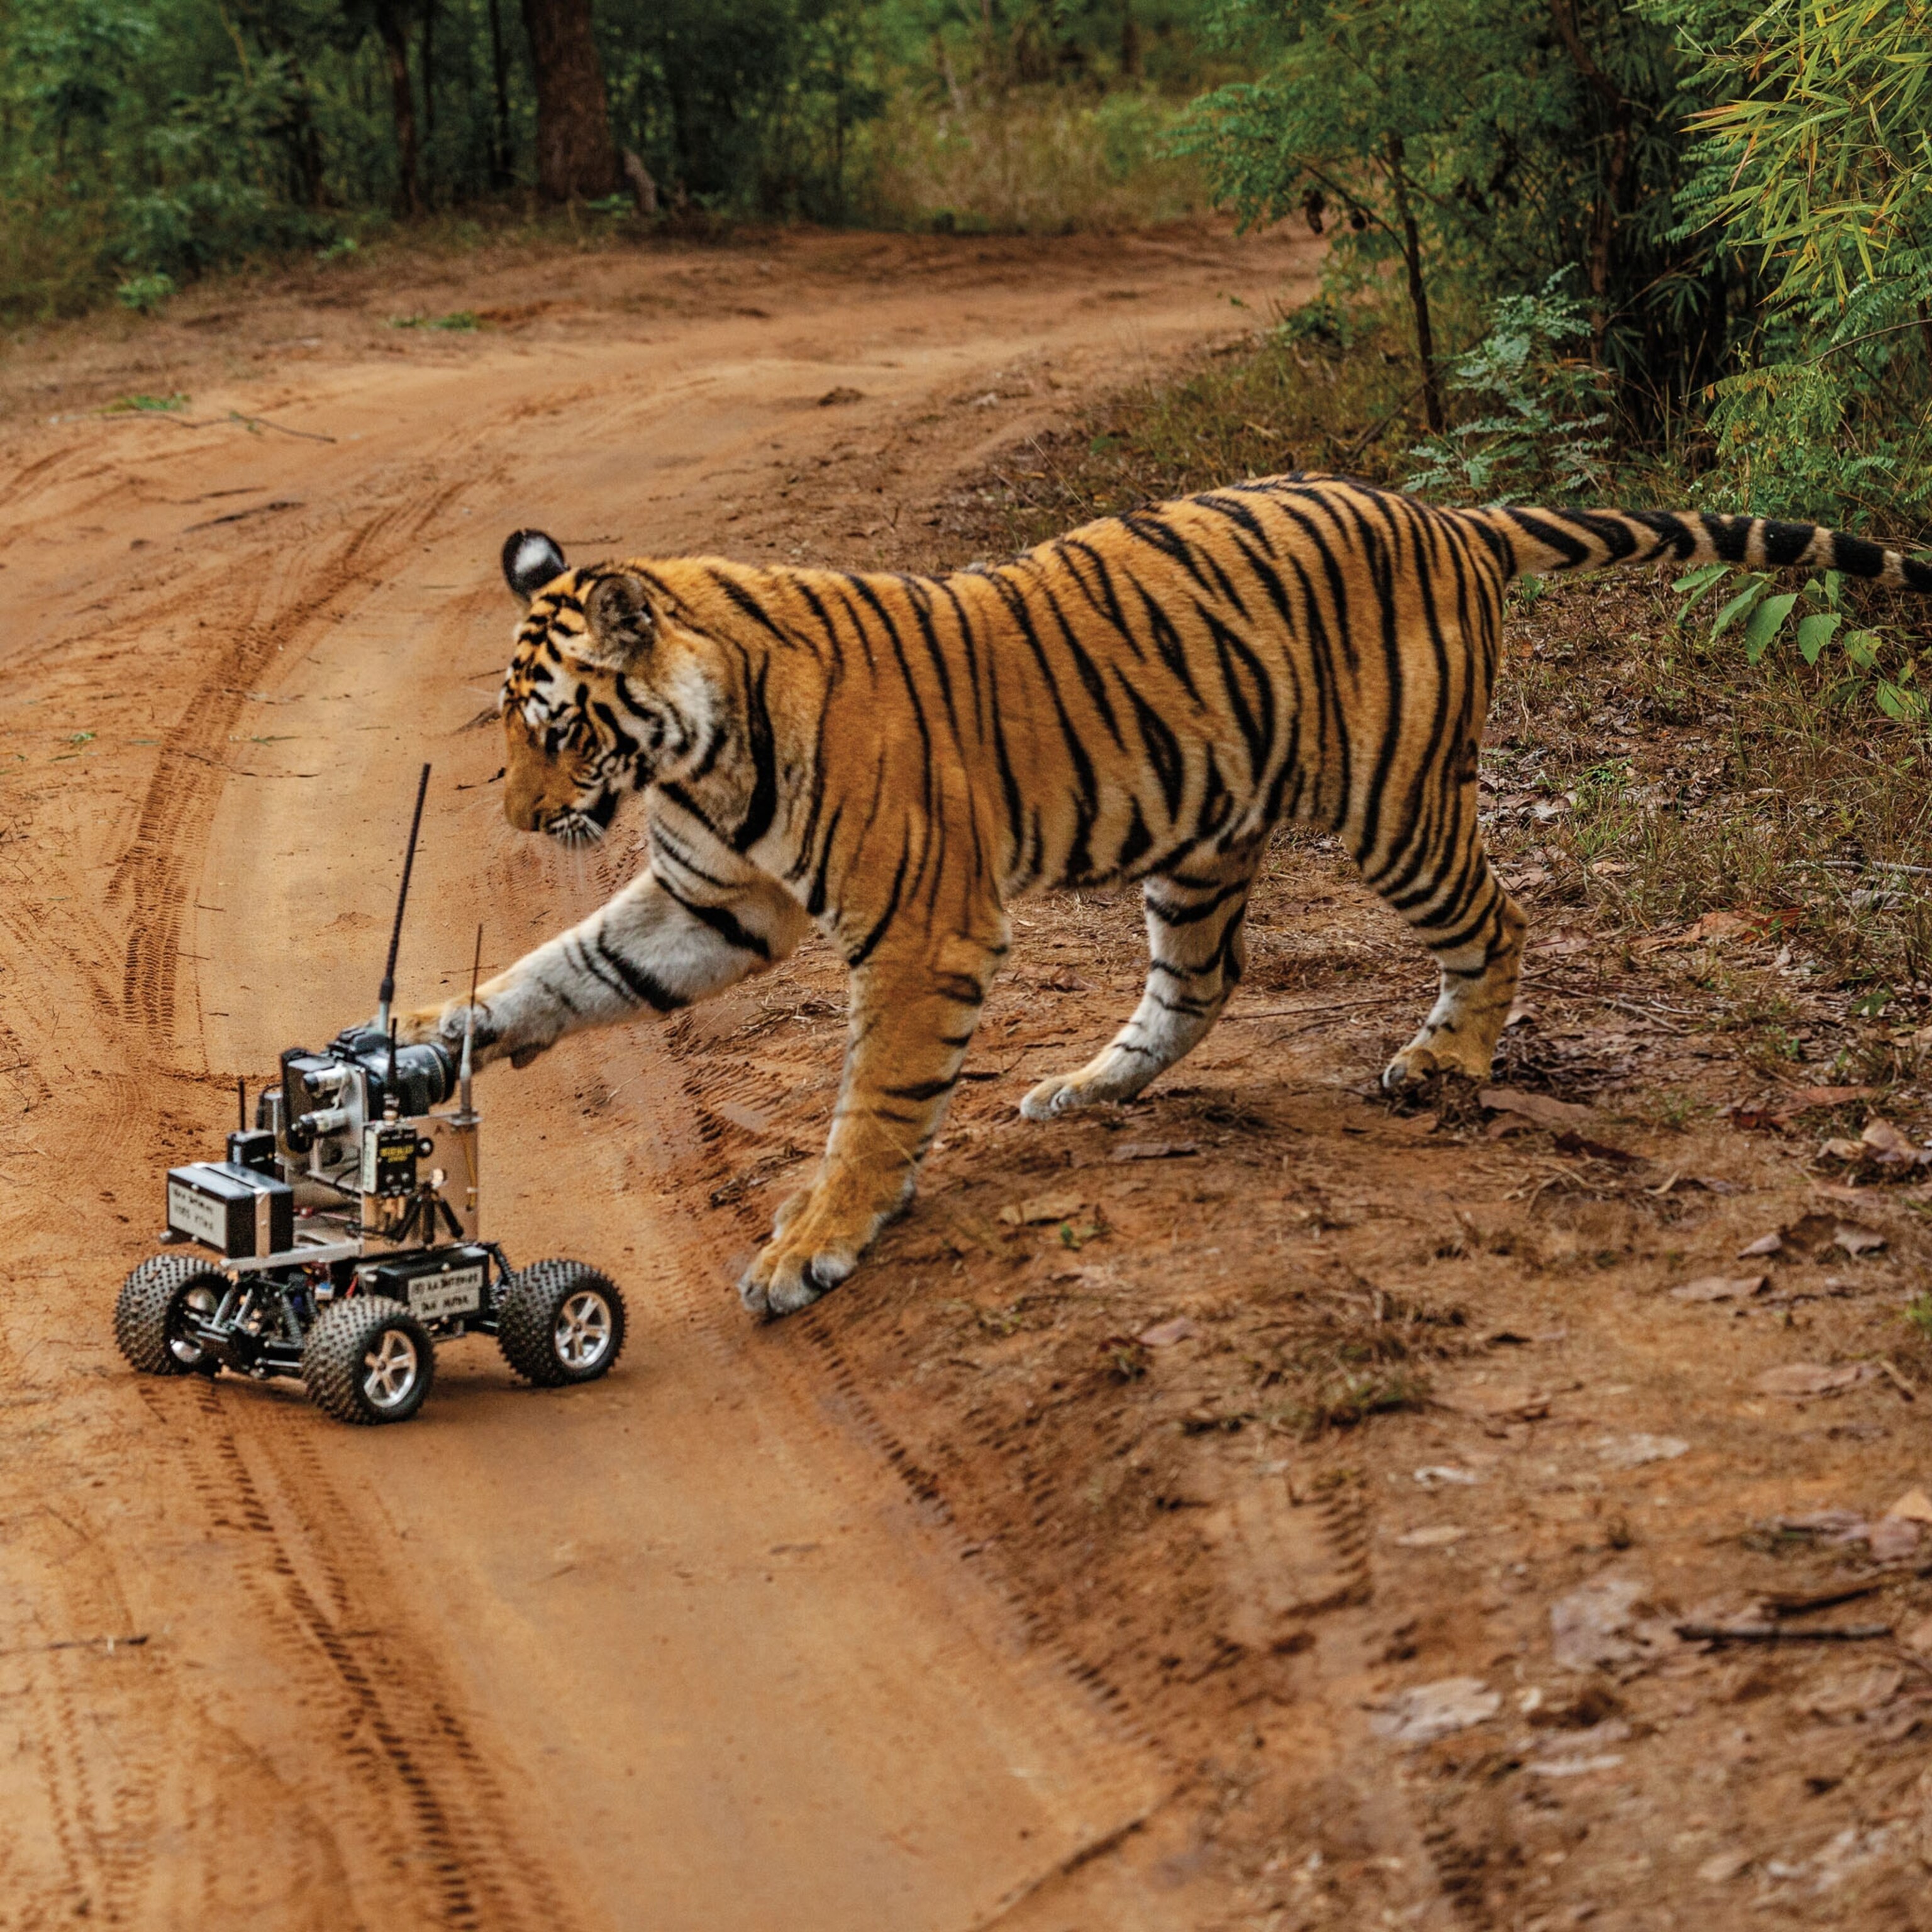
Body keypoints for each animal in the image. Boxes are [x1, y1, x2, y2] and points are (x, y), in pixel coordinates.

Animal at [400, 476, 1932, 1316]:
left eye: (554, 728)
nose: (524, 820)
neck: (703, 755)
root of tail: (1447, 515)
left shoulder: (922, 933)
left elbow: (874, 1107)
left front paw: (811, 1249)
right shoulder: (709, 902)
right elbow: (564, 972)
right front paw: (426, 1037)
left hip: (1393, 807)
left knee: (1497, 923)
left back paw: (1441, 1066)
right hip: (1199, 840)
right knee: (1199, 985)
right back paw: (1083, 1090)